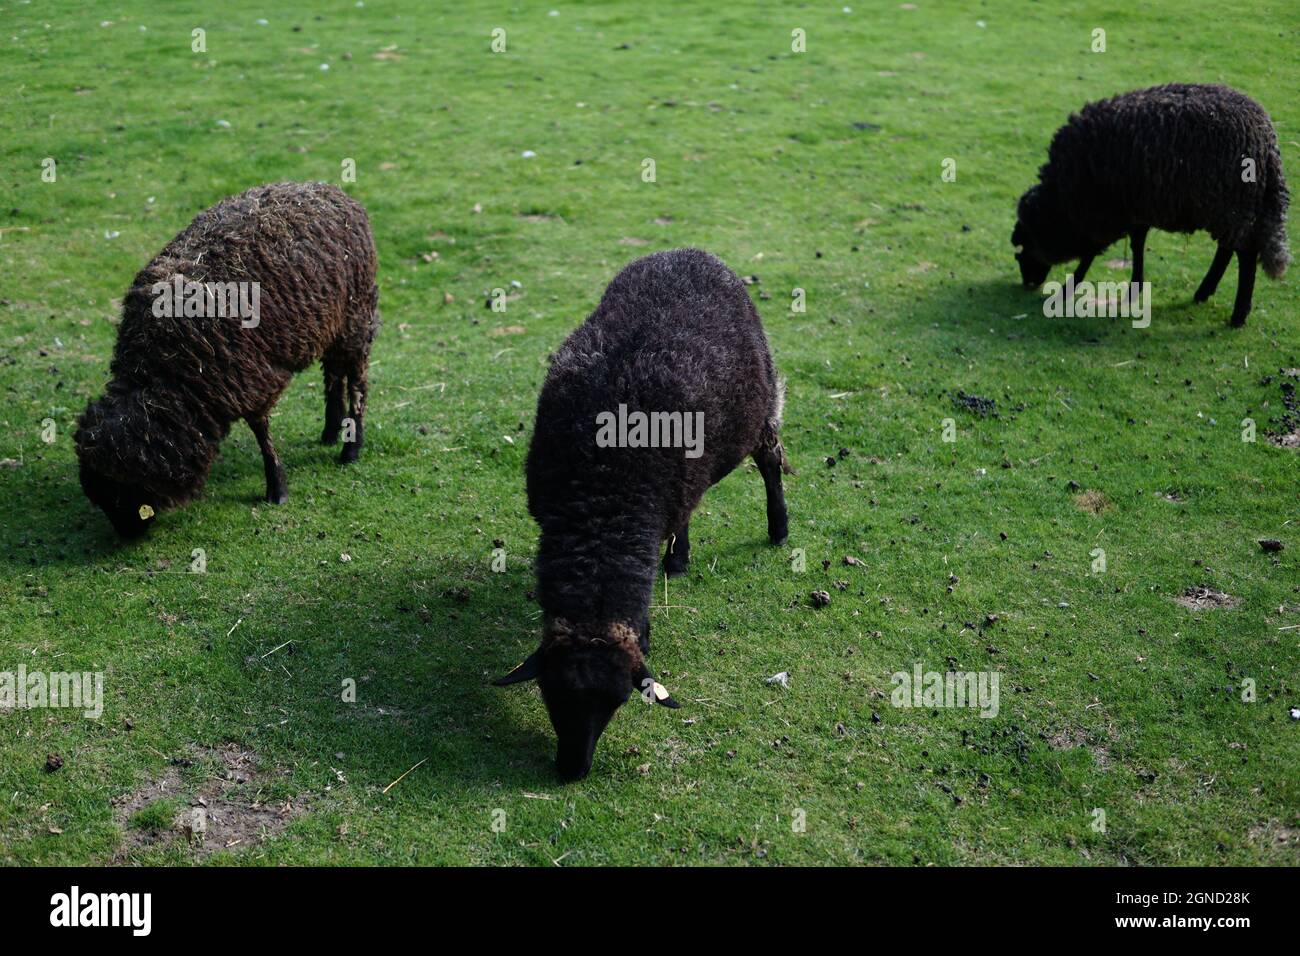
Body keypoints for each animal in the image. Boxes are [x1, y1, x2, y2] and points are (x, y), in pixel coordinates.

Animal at [75, 181, 379, 537]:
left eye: (122, 490)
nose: (127, 537)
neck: (160, 374)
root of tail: (332, 191)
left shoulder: (251, 377)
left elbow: (261, 431)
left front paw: (277, 488)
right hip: (331, 324)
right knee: (333, 373)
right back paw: (331, 430)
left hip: (356, 316)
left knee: (356, 380)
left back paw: (351, 448)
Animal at [493, 248, 792, 781]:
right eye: (549, 695)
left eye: (615, 705)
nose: (573, 770)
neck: (603, 504)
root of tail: (690, 251)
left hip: (761, 412)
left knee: (770, 465)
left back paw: (777, 529)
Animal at [1012, 83, 1290, 326]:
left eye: (1025, 244)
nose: (1028, 282)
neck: (1060, 201)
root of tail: (1267, 142)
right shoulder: (1134, 210)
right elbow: (1137, 244)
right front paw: (1133, 290)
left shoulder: (1102, 213)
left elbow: (1091, 252)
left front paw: (1068, 288)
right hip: (1227, 208)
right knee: (1227, 248)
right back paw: (1203, 292)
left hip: (1229, 203)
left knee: (1246, 254)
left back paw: (1238, 315)